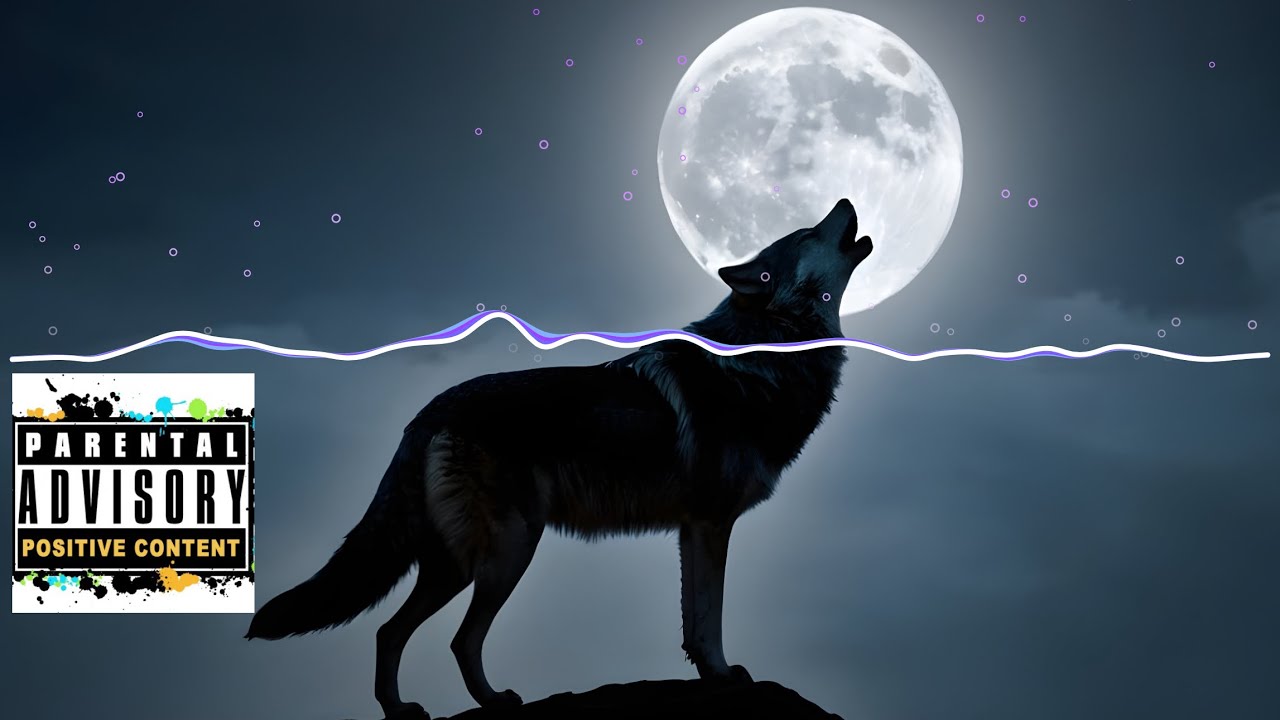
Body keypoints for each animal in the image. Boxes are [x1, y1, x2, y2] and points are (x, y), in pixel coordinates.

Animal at [246, 199, 874, 719]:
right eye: (809, 231)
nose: (845, 198)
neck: (766, 351)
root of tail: (428, 413)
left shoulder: (691, 529)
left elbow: (694, 622)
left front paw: (707, 673)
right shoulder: (712, 523)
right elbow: (711, 616)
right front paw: (723, 675)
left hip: (458, 563)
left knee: (390, 633)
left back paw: (402, 712)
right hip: (507, 551)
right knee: (456, 638)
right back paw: (492, 701)